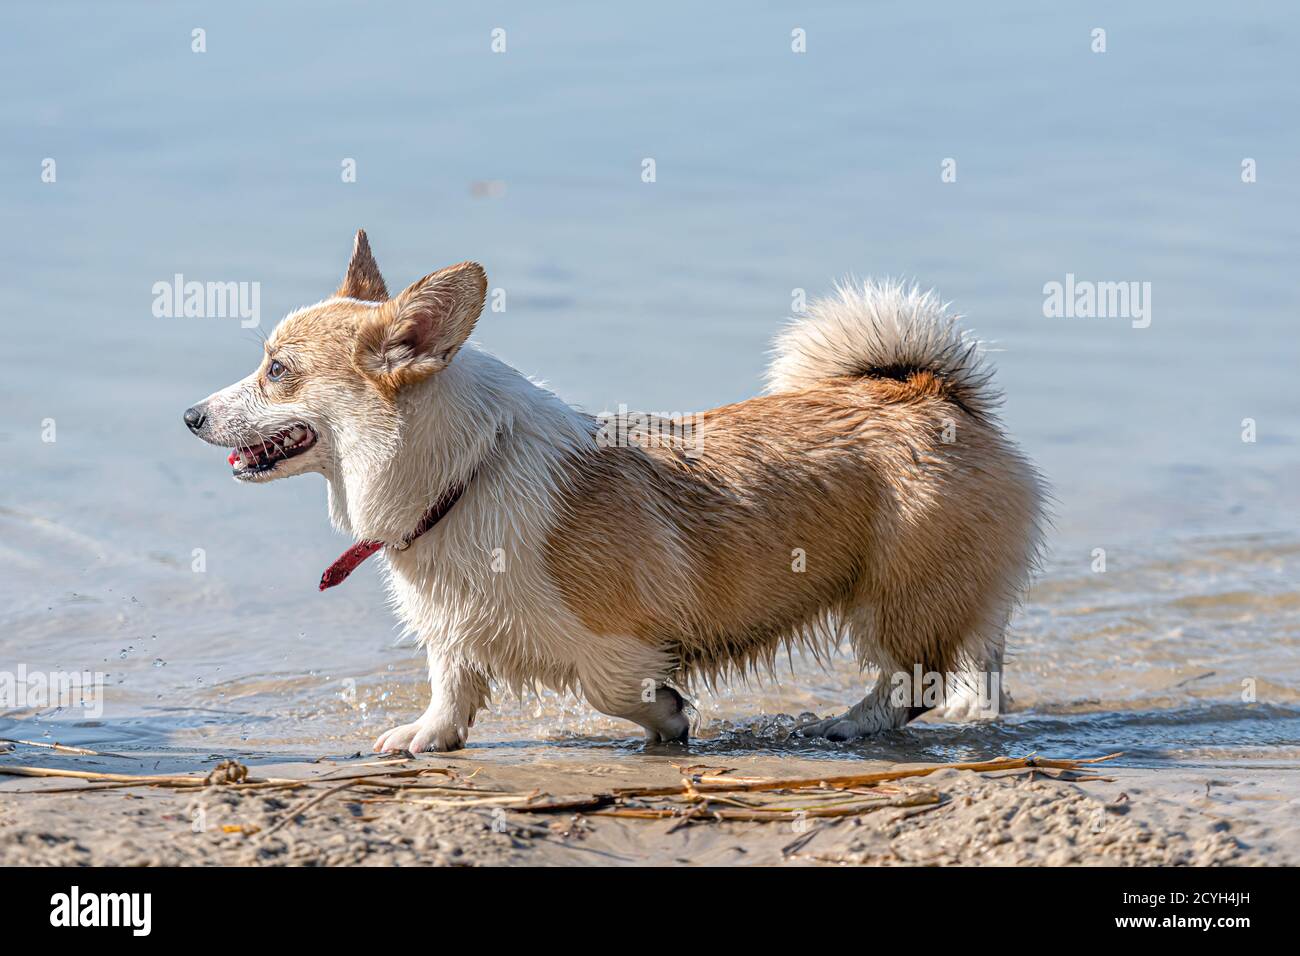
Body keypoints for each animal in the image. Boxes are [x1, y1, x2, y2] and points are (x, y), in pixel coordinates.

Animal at [185, 234, 1045, 754]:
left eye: (277, 369)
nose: (189, 415)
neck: (463, 476)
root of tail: (931, 391)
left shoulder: (615, 637)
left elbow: (609, 686)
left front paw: (668, 716)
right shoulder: (452, 631)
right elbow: (450, 686)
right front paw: (427, 738)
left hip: (893, 596)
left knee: (912, 676)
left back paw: (850, 723)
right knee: (981, 653)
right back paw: (973, 713)